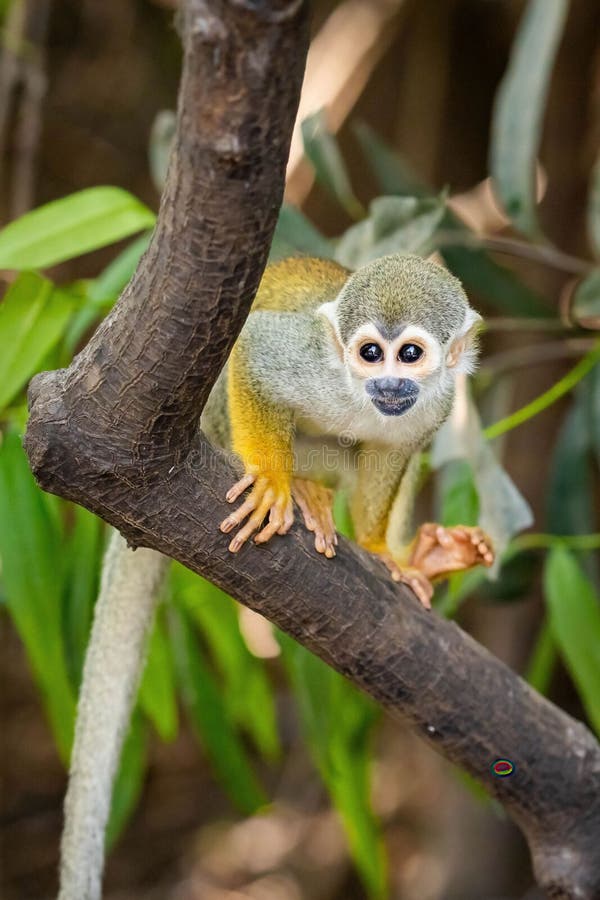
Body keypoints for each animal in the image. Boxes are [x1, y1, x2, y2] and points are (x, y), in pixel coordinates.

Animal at [57, 252, 493, 900]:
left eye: (410, 354)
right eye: (371, 353)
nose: (389, 384)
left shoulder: (436, 403)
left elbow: (395, 452)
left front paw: (379, 547)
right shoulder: (312, 363)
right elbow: (255, 350)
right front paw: (270, 477)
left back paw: (419, 551)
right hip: (212, 422)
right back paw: (301, 486)